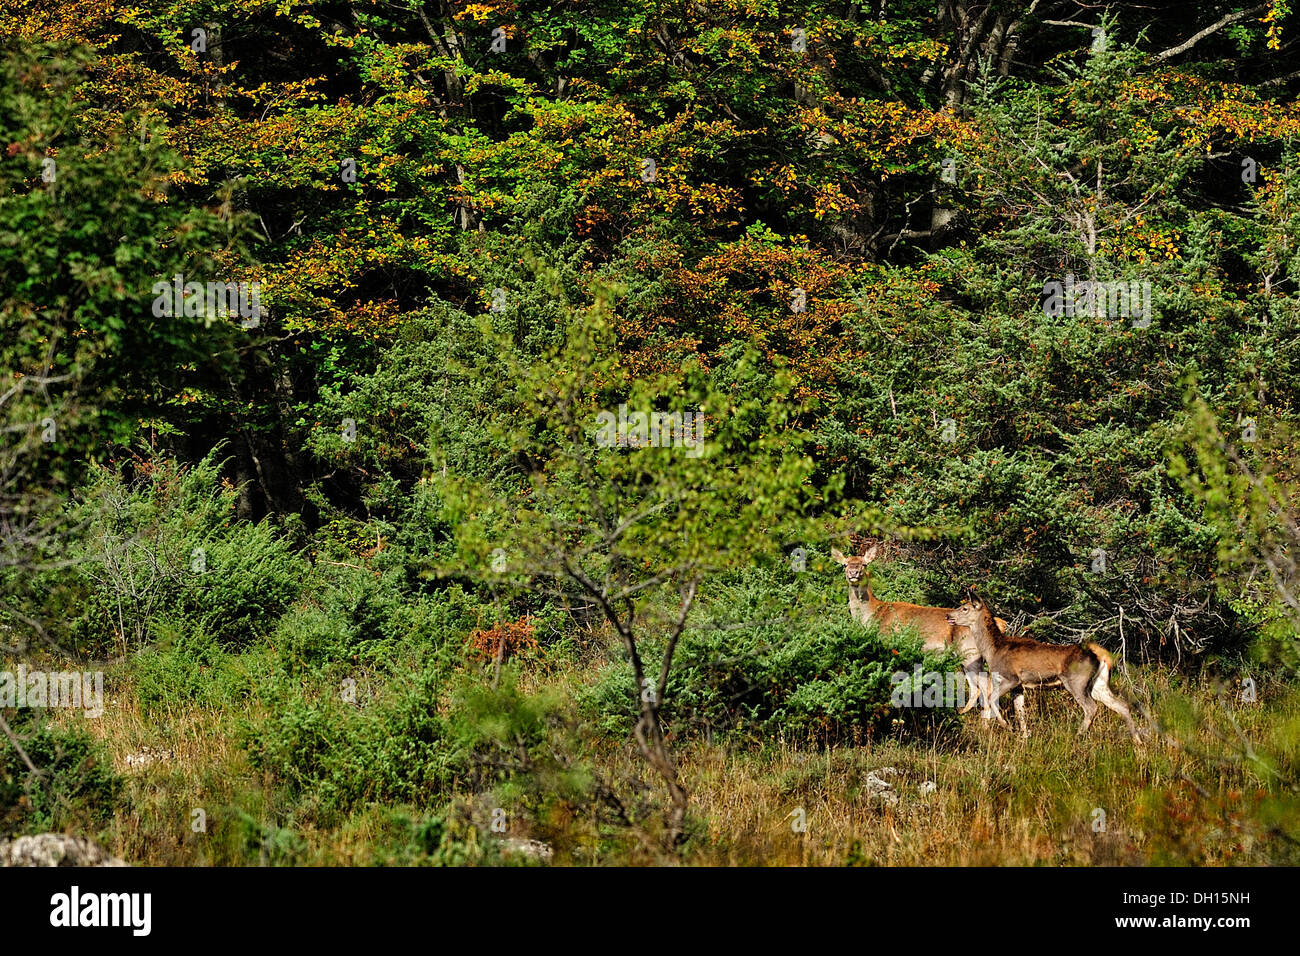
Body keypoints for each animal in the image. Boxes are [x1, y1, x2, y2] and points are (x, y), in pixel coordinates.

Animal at [831, 544, 1003, 717]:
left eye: (864, 564)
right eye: (845, 564)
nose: (853, 573)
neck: (873, 615)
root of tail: (999, 623)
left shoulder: (887, 642)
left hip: (970, 652)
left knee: (986, 686)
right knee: (976, 688)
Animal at [946, 595, 1142, 744]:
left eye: (965, 608)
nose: (948, 615)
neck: (993, 650)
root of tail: (1100, 655)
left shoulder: (1011, 678)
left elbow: (991, 698)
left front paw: (1007, 726)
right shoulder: (1019, 686)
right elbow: (1020, 712)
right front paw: (1024, 736)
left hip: (1076, 681)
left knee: (1091, 708)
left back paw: (1078, 736)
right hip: (1098, 683)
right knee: (1122, 705)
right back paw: (1138, 743)